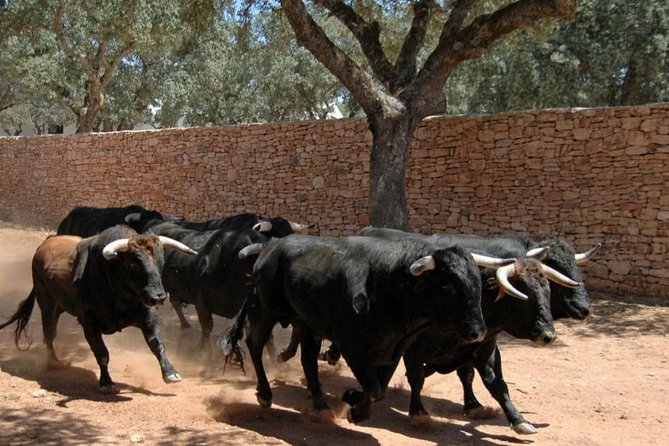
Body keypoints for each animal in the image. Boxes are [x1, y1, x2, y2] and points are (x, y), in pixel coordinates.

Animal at [0, 225, 197, 393]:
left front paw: (170, 373)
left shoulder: (148, 316)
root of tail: (43, 245)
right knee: (49, 333)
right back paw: (53, 362)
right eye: (133, 265)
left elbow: (157, 345)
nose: (158, 297)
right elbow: (102, 353)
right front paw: (106, 383)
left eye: (160, 262)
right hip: (46, 304)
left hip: (59, 307)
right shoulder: (89, 323)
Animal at [225, 234, 519, 423]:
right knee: (254, 345)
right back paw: (265, 394)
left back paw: (320, 405)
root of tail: (270, 246)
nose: (478, 331)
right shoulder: (353, 347)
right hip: (266, 311)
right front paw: (354, 403)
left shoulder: (393, 349)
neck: (388, 286)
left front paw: (354, 403)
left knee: (307, 361)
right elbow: (375, 387)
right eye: (448, 286)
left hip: (304, 322)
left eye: (477, 283)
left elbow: (379, 387)